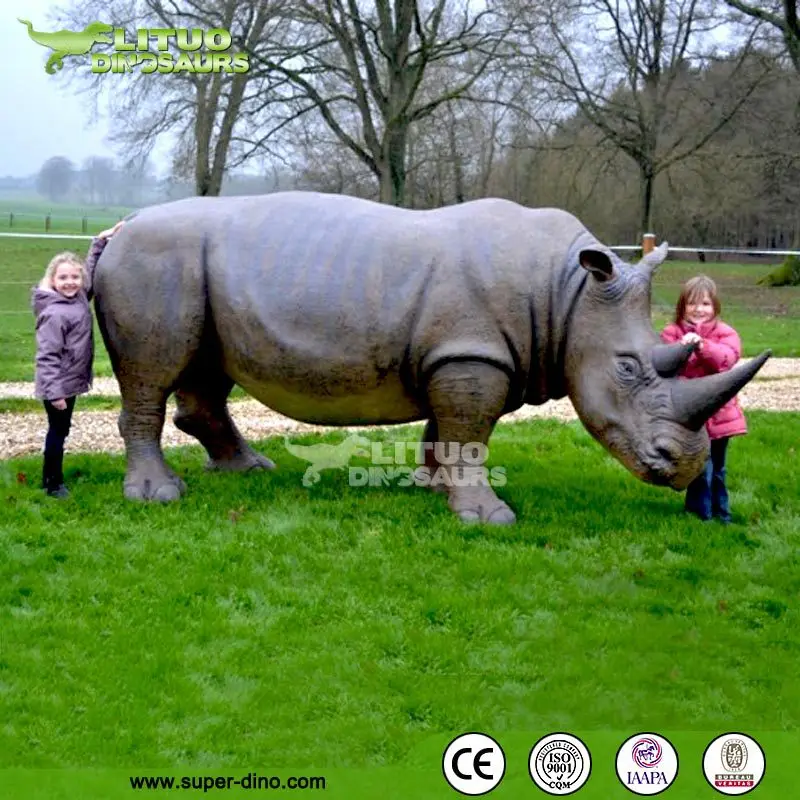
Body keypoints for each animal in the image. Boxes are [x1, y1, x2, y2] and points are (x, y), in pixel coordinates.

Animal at [92, 191, 770, 524]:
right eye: (628, 368)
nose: (682, 468)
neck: (567, 296)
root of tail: (117, 228)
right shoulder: (472, 355)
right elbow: (470, 433)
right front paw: (487, 518)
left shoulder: (465, 354)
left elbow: (450, 430)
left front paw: (435, 489)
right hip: (157, 260)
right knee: (154, 373)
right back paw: (159, 497)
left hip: (195, 271)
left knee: (205, 370)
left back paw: (248, 471)